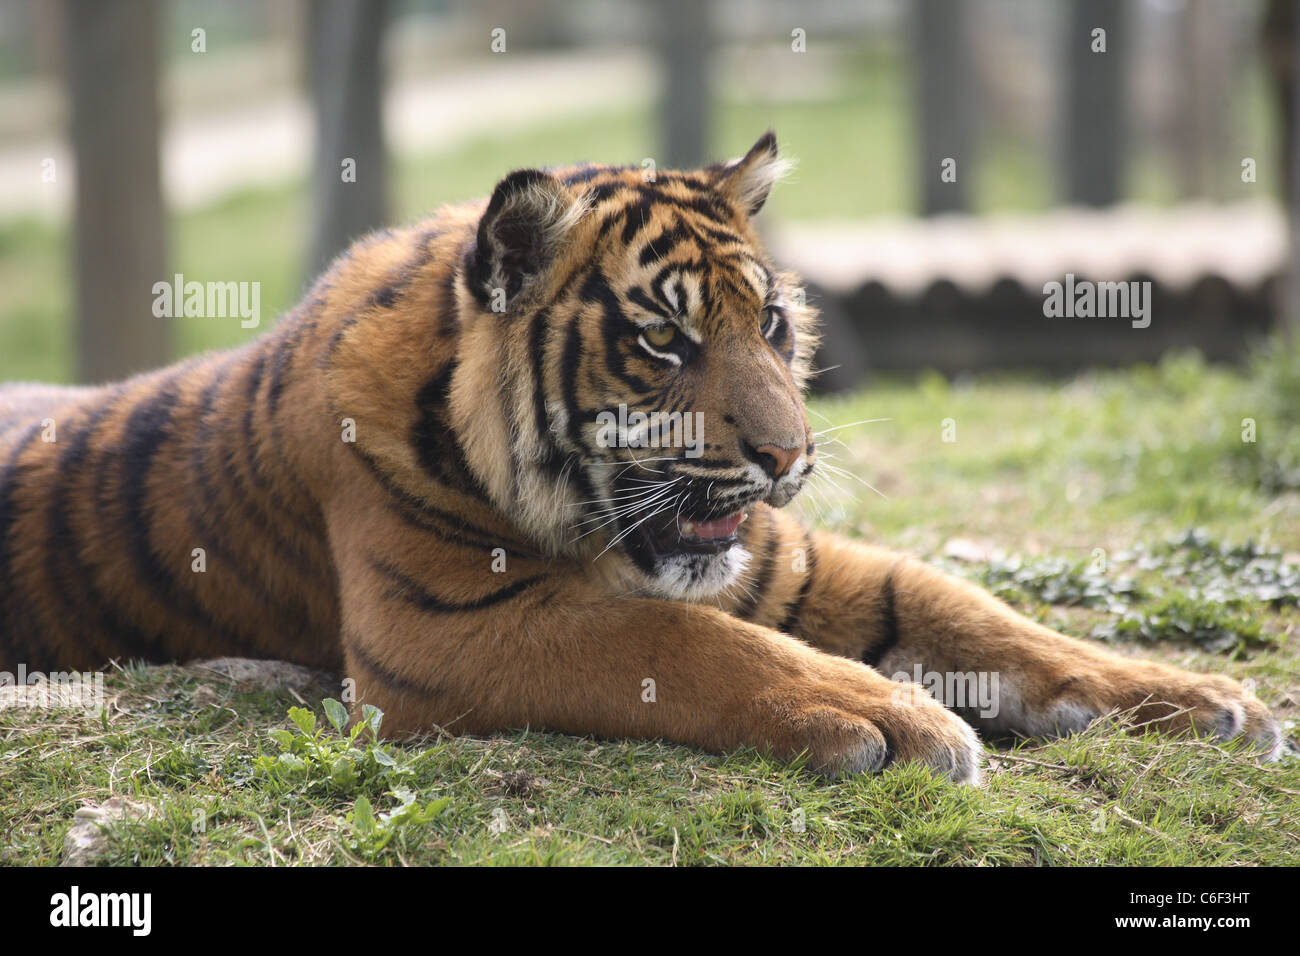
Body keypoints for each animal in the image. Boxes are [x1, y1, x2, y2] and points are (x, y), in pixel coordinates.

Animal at [0, 132, 1282, 782]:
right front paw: (891, 715)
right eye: (665, 340)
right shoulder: (445, 628)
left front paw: (1198, 692)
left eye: (772, 322)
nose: (788, 455)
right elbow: (684, 640)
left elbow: (979, 614)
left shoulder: (787, 562)